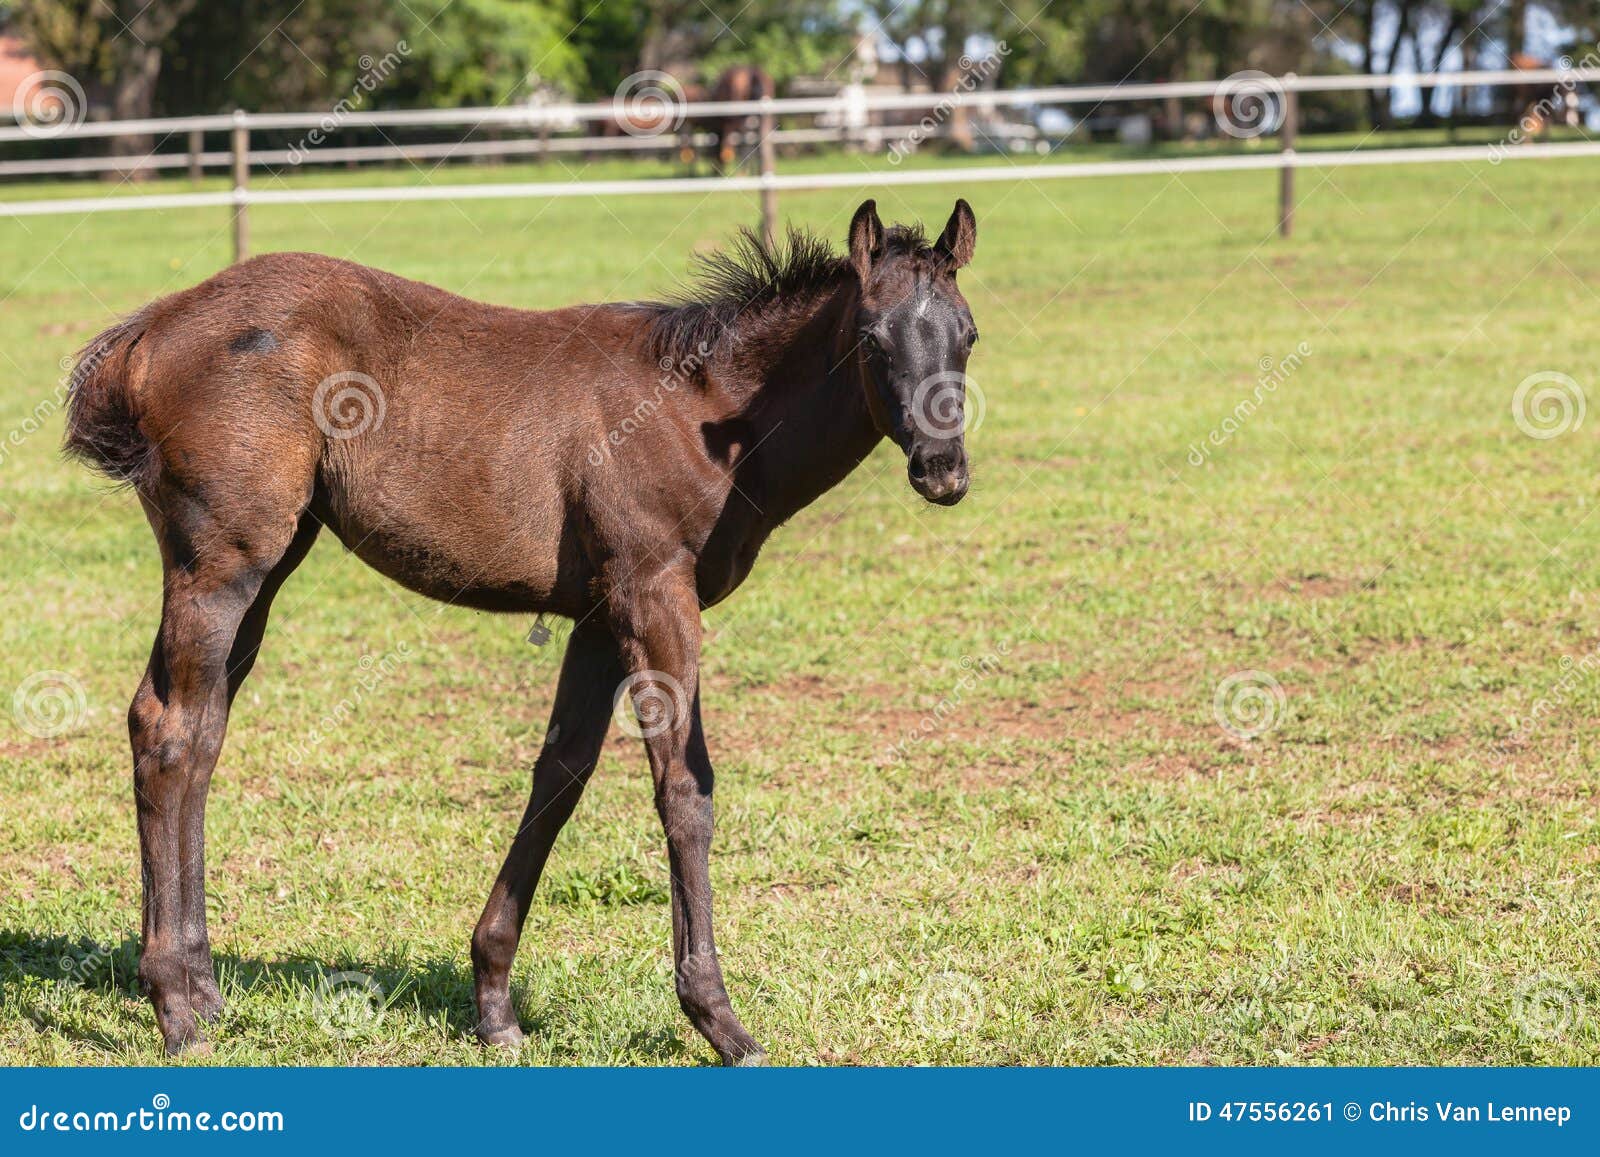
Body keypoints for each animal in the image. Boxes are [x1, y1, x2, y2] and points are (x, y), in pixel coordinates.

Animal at [64, 197, 980, 1064]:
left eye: (967, 335)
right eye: (872, 337)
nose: (943, 471)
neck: (706, 413)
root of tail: (149, 330)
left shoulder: (600, 619)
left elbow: (560, 775)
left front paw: (495, 1003)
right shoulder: (655, 595)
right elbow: (685, 790)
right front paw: (720, 1020)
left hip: (273, 560)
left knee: (202, 732)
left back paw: (205, 988)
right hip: (222, 562)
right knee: (167, 729)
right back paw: (176, 1008)